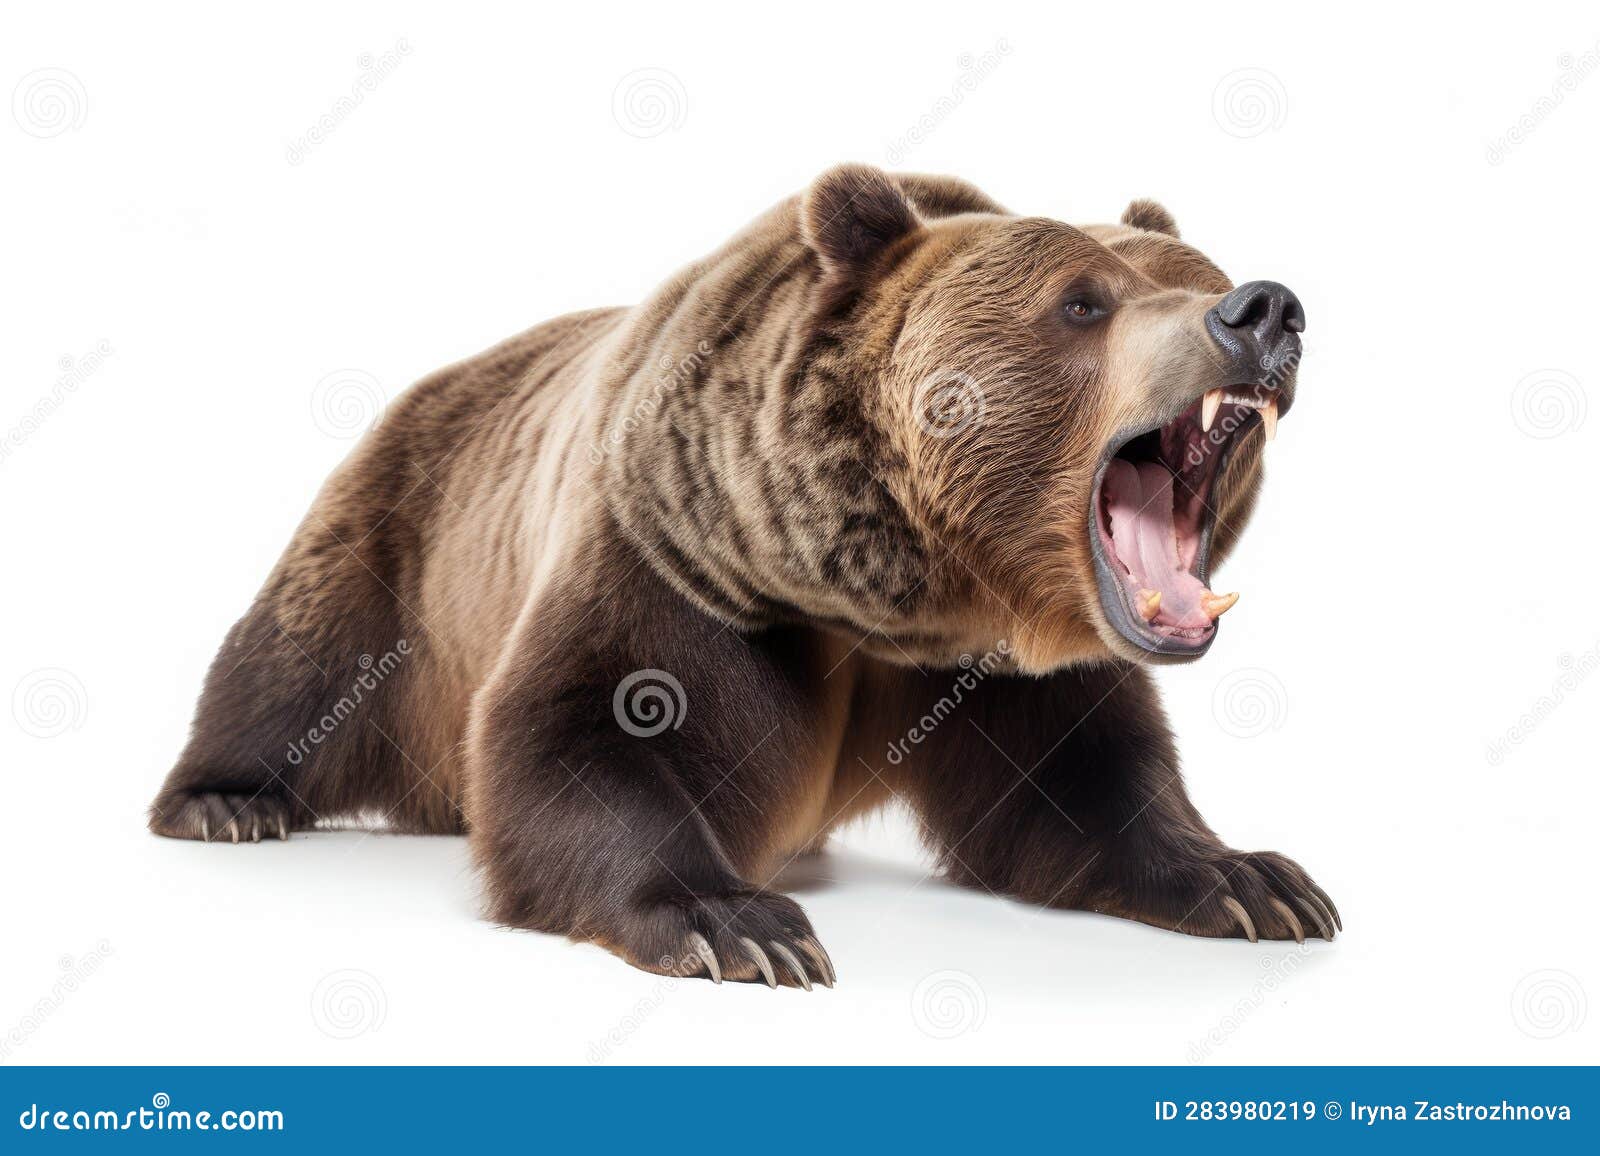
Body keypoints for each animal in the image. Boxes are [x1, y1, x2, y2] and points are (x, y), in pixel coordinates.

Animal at [149, 164, 1336, 988]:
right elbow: (578, 733)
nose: (1262, 308)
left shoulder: (1007, 668)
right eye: (1082, 301)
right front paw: (735, 923)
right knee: (303, 650)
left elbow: (1088, 777)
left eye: (1197, 275)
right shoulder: (673, 563)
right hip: (407, 521)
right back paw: (223, 799)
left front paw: (1256, 880)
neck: (903, 597)